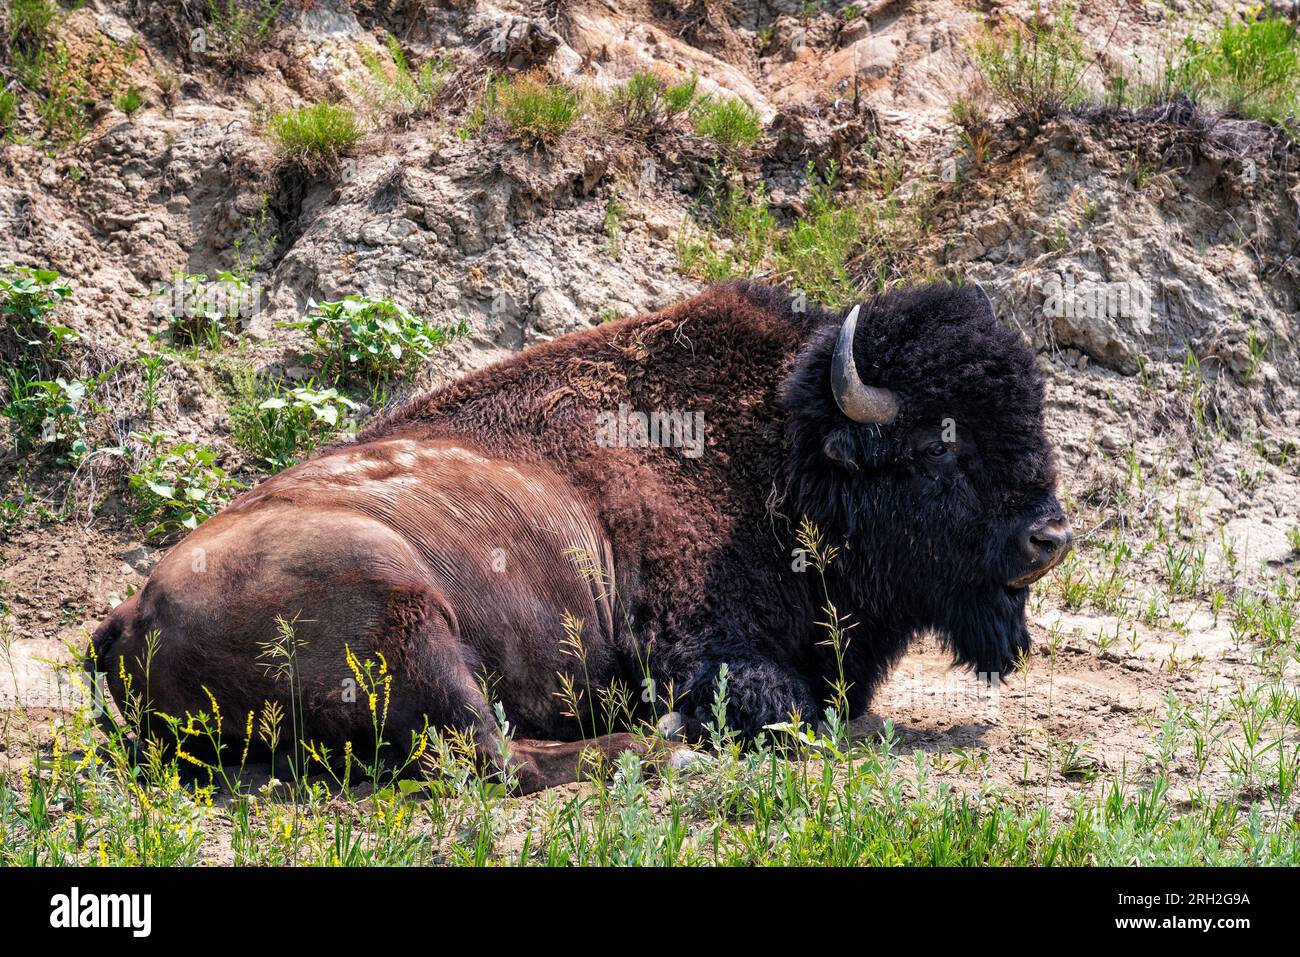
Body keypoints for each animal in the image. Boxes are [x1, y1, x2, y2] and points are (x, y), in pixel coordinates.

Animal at [89, 281, 1071, 792]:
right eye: (941, 440)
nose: (1050, 537)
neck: (783, 452)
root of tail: (128, 614)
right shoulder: (706, 647)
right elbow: (784, 703)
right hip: (406, 611)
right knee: (487, 755)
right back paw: (658, 744)